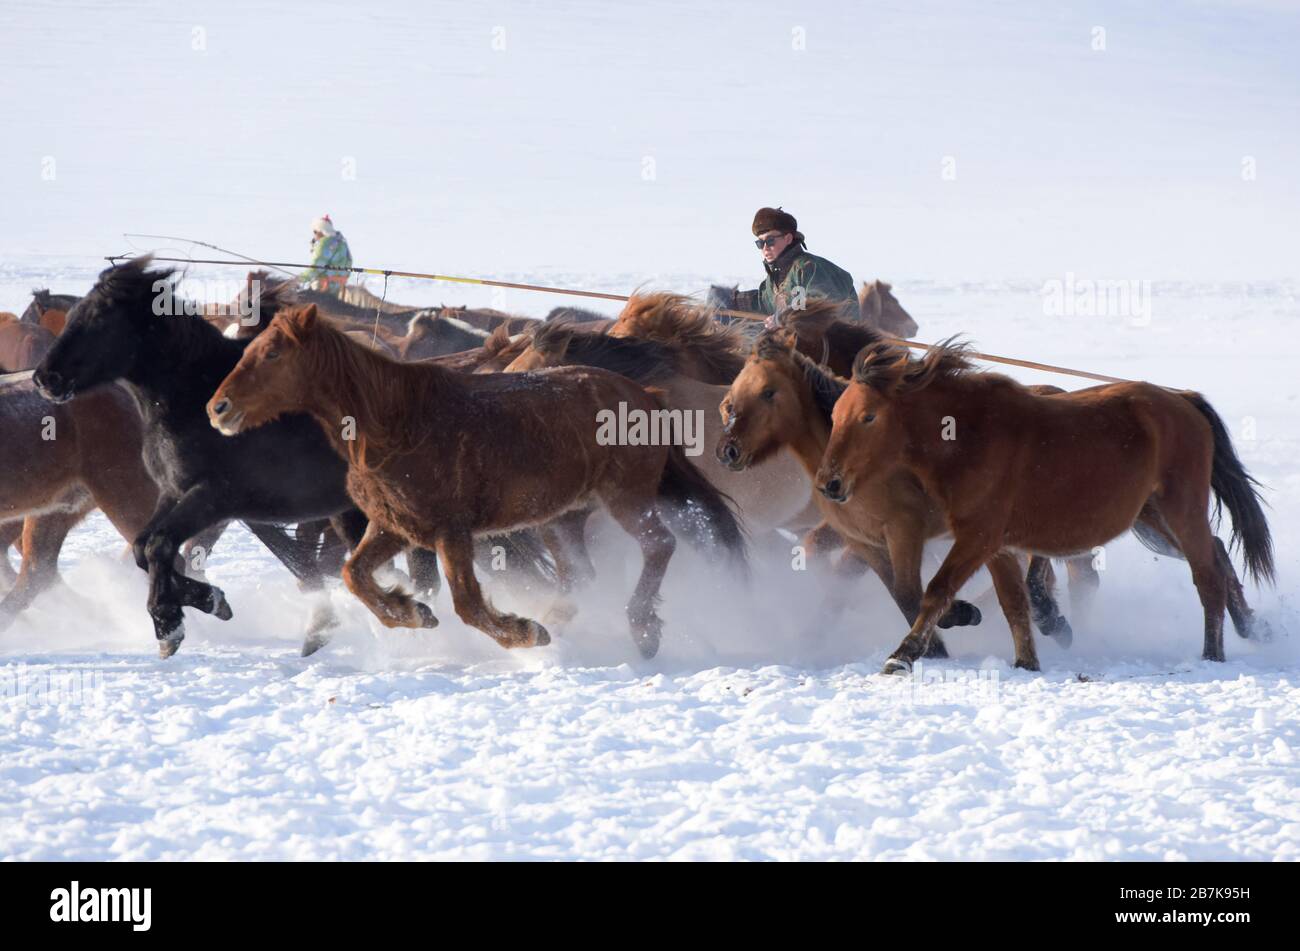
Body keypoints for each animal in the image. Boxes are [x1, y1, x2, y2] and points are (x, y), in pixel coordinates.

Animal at [33, 257, 440, 657]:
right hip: (348, 512)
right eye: (71, 316)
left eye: (100, 318)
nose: (44, 378)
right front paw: (209, 601)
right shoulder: (175, 491)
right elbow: (142, 548)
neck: (191, 397)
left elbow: (159, 546)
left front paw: (170, 623)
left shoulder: (214, 497)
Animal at [207, 303, 747, 658]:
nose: (218, 408)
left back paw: (641, 629)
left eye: (272, 354)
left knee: (659, 545)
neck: (396, 423)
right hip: (564, 518)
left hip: (627, 500)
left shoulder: (452, 532)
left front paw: (521, 633)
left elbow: (466, 602)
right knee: (581, 575)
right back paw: (563, 621)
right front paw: (411, 612)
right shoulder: (395, 528)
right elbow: (354, 575)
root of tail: (647, 396)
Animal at [816, 338, 1275, 673]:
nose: (828, 483)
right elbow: (1014, 605)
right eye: (835, 416)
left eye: (869, 417)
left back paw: (1213, 655)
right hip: (1153, 520)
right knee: (1217, 553)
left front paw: (903, 655)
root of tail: (1182, 399)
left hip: (1181, 510)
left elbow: (937, 591)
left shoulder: (977, 537)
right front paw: (1026, 662)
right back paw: (1252, 626)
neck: (970, 437)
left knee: (1208, 578)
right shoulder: (998, 546)